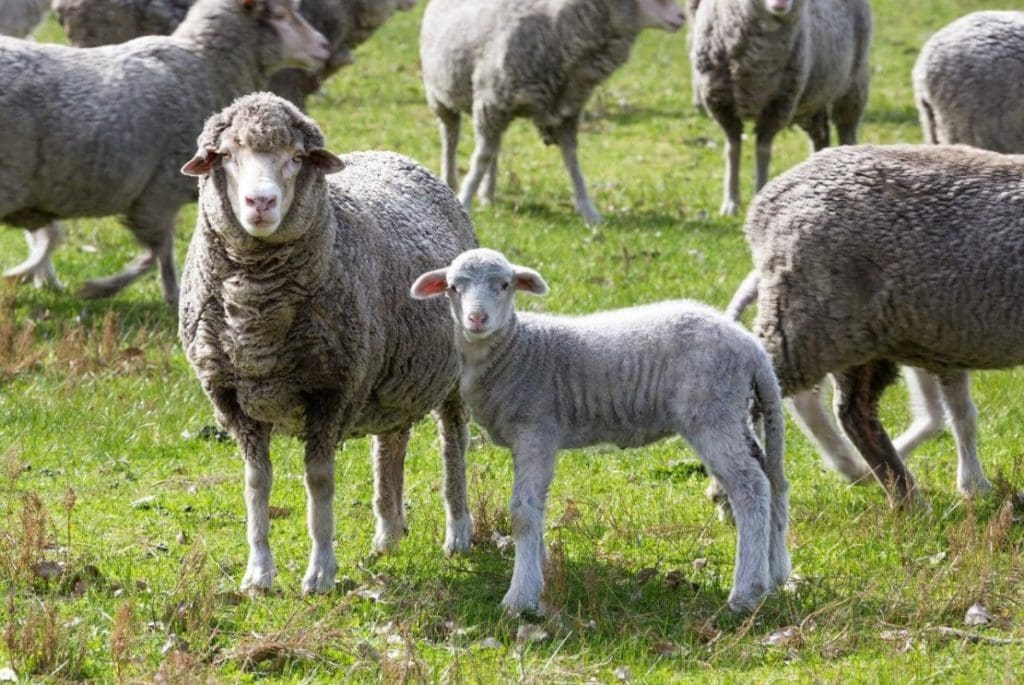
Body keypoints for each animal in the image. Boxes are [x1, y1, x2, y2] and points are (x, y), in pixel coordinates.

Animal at [0, 0, 329, 305]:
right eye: (280, 14)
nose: (323, 46)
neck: (206, 65)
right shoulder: (157, 193)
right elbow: (156, 252)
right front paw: (105, 288)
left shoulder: (156, 198)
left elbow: (162, 252)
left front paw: (171, 295)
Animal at [178, 92, 477, 594]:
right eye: (226, 155)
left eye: (297, 157)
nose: (261, 201)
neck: (257, 316)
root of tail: (393, 154)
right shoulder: (235, 400)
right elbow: (256, 485)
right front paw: (258, 573)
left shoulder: (330, 391)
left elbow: (318, 484)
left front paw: (320, 572)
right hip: (392, 374)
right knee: (391, 444)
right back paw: (388, 535)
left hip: (451, 374)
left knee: (452, 443)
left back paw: (458, 532)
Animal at [411, 247, 790, 614]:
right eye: (453, 287)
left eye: (504, 285)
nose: (477, 319)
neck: (518, 350)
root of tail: (750, 348)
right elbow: (536, 509)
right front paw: (539, 568)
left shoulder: (536, 430)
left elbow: (523, 512)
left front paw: (521, 597)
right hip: (735, 415)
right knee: (772, 480)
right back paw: (773, 577)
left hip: (712, 413)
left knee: (751, 488)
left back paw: (746, 593)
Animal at [419, 0, 686, 225]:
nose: (682, 17)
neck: (560, 32)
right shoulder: (491, 100)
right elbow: (480, 158)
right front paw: (465, 199)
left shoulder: (567, 112)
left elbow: (572, 160)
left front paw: (589, 211)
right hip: (440, 96)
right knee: (451, 140)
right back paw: (451, 179)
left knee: (493, 147)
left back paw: (488, 193)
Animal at [690, 0, 872, 215]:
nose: (781, 3)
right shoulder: (722, 105)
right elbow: (732, 150)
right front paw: (730, 203)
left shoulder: (777, 106)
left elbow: (763, 152)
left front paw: (759, 194)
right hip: (812, 100)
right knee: (820, 136)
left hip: (853, 85)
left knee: (847, 132)